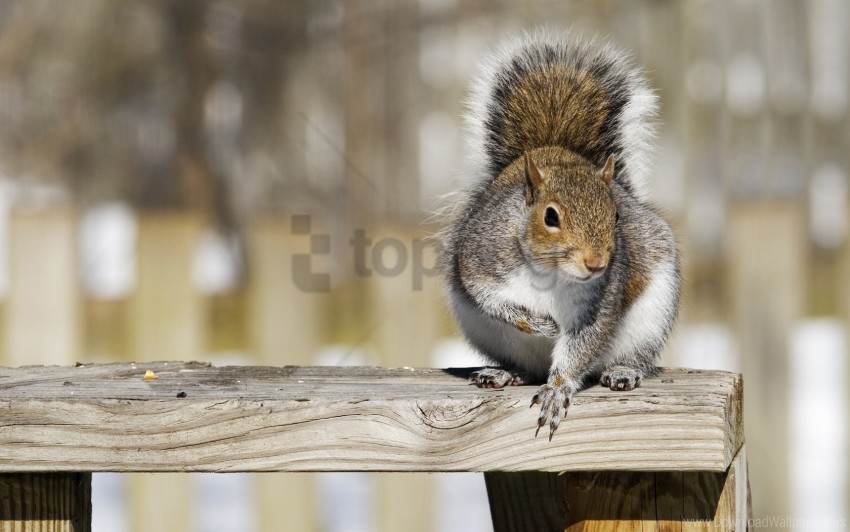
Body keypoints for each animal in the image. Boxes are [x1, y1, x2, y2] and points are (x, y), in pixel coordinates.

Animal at [439, 30, 681, 439]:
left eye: (616, 215)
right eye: (550, 216)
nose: (596, 263)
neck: (548, 272)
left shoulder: (599, 301)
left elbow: (582, 345)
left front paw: (557, 389)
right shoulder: (479, 258)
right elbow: (487, 297)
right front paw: (535, 322)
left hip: (651, 318)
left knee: (635, 358)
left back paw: (624, 371)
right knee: (524, 366)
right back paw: (504, 372)